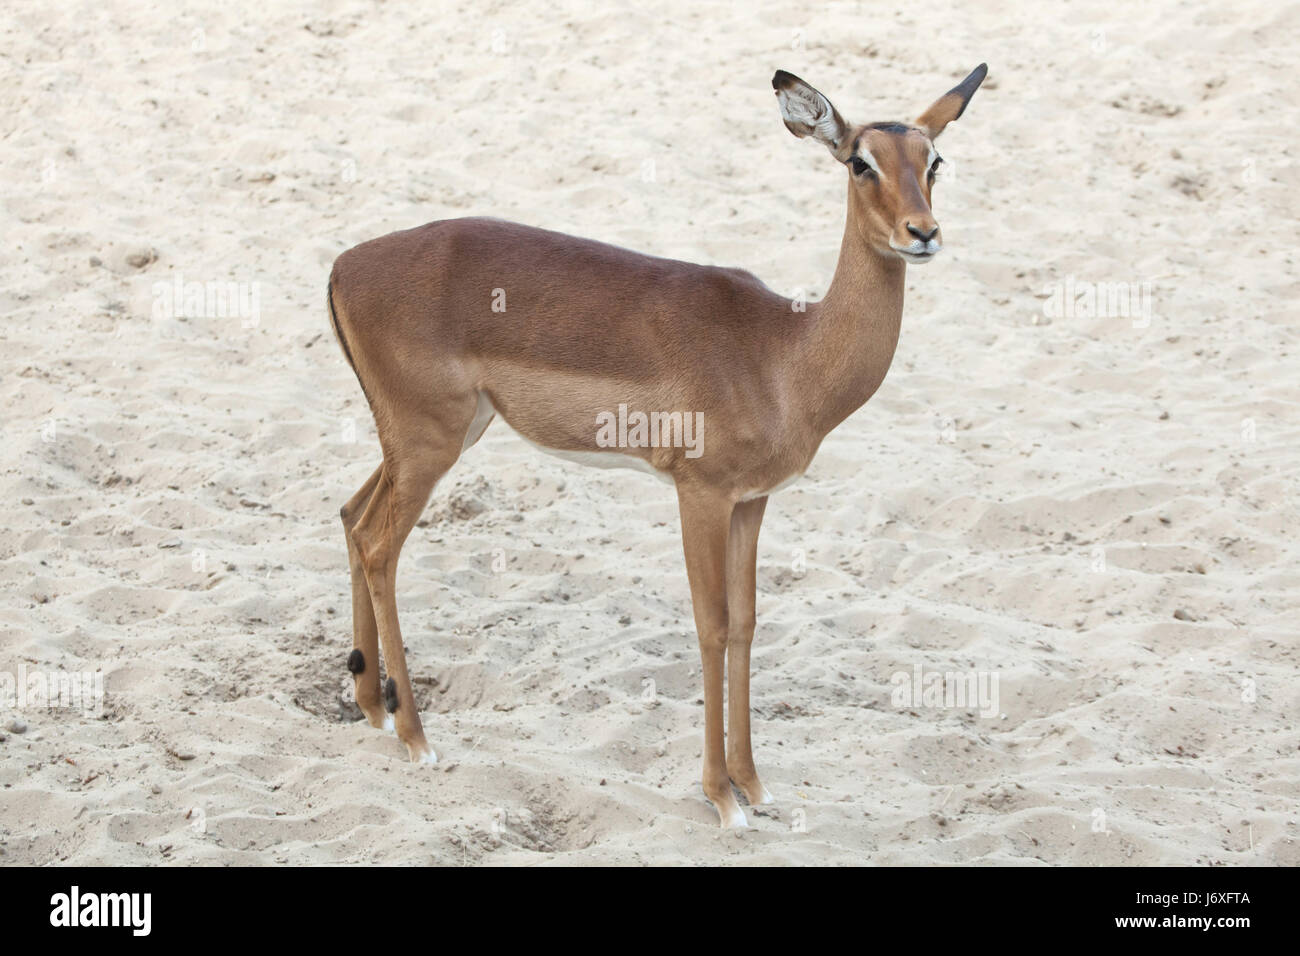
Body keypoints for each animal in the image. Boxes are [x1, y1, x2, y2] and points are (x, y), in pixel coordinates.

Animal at [328, 64, 988, 828]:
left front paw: (753, 784)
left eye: (933, 161)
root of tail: (343, 266)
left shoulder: (751, 501)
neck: (784, 354)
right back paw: (417, 738)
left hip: (434, 438)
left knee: (350, 515)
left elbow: (747, 624)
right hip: (428, 443)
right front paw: (721, 799)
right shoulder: (700, 493)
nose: (923, 233)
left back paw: (373, 708)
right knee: (378, 544)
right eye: (860, 161)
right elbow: (710, 625)